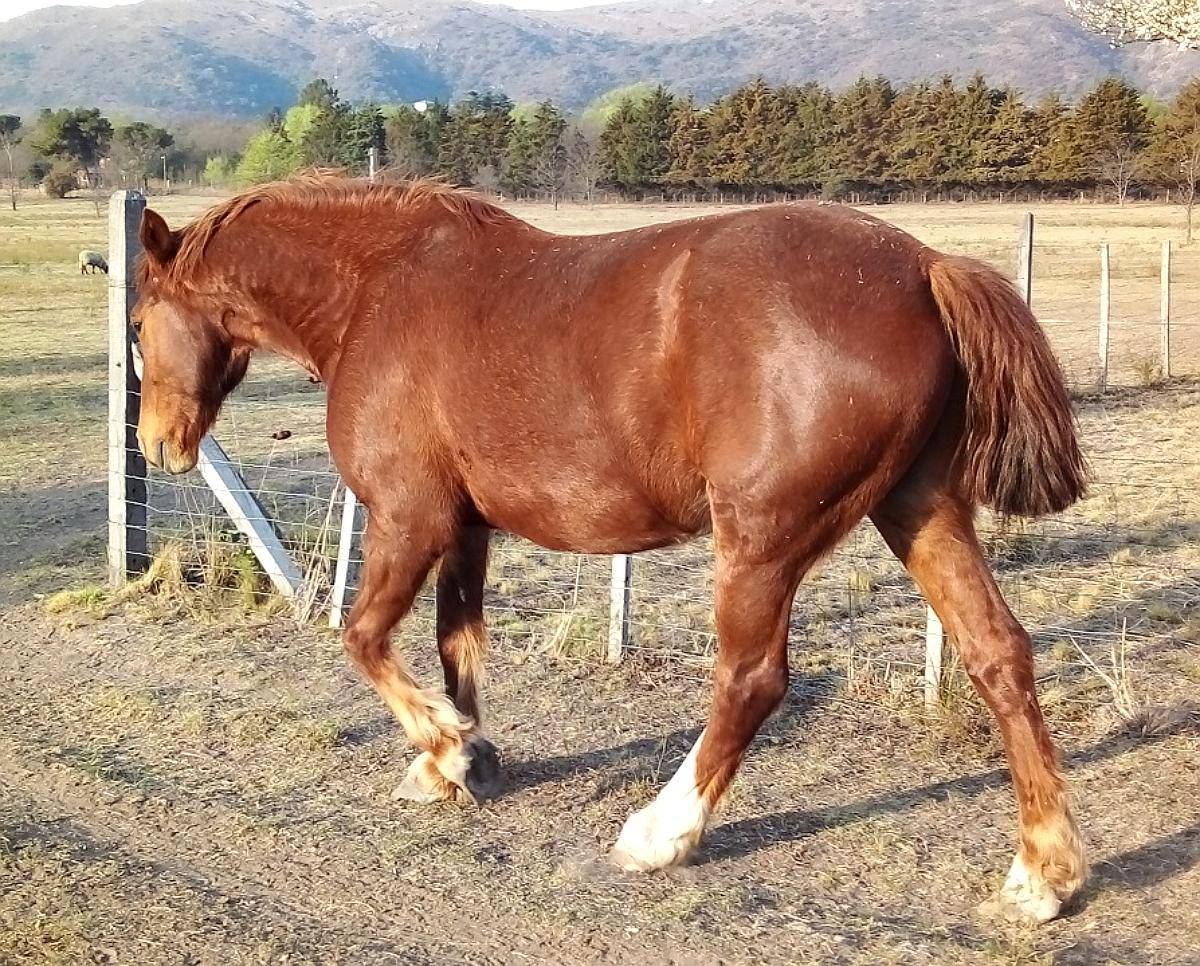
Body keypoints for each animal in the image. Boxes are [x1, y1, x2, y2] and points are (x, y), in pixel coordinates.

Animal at [130, 175, 1088, 923]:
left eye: (139, 322)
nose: (156, 445)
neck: (378, 290)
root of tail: (923, 268)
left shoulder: (410, 520)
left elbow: (363, 640)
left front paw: (446, 748)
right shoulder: (466, 530)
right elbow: (455, 645)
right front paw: (458, 762)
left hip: (763, 540)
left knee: (752, 681)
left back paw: (659, 833)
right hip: (920, 510)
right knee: (998, 654)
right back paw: (1041, 876)